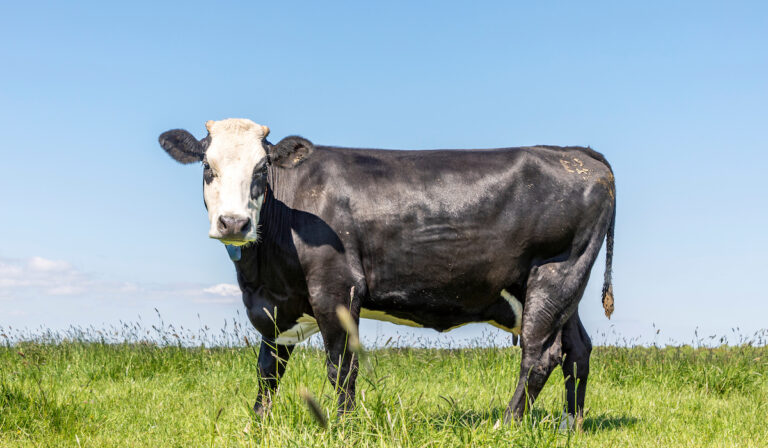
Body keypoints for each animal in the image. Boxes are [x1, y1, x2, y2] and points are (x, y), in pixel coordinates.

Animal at [158, 118, 616, 428]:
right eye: (207, 167)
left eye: (260, 169)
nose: (233, 223)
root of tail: (576, 153)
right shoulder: (276, 305)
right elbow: (267, 370)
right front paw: (258, 426)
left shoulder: (336, 288)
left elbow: (341, 367)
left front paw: (342, 427)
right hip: (561, 291)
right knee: (578, 349)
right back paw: (570, 425)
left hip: (556, 274)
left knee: (539, 354)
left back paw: (507, 424)